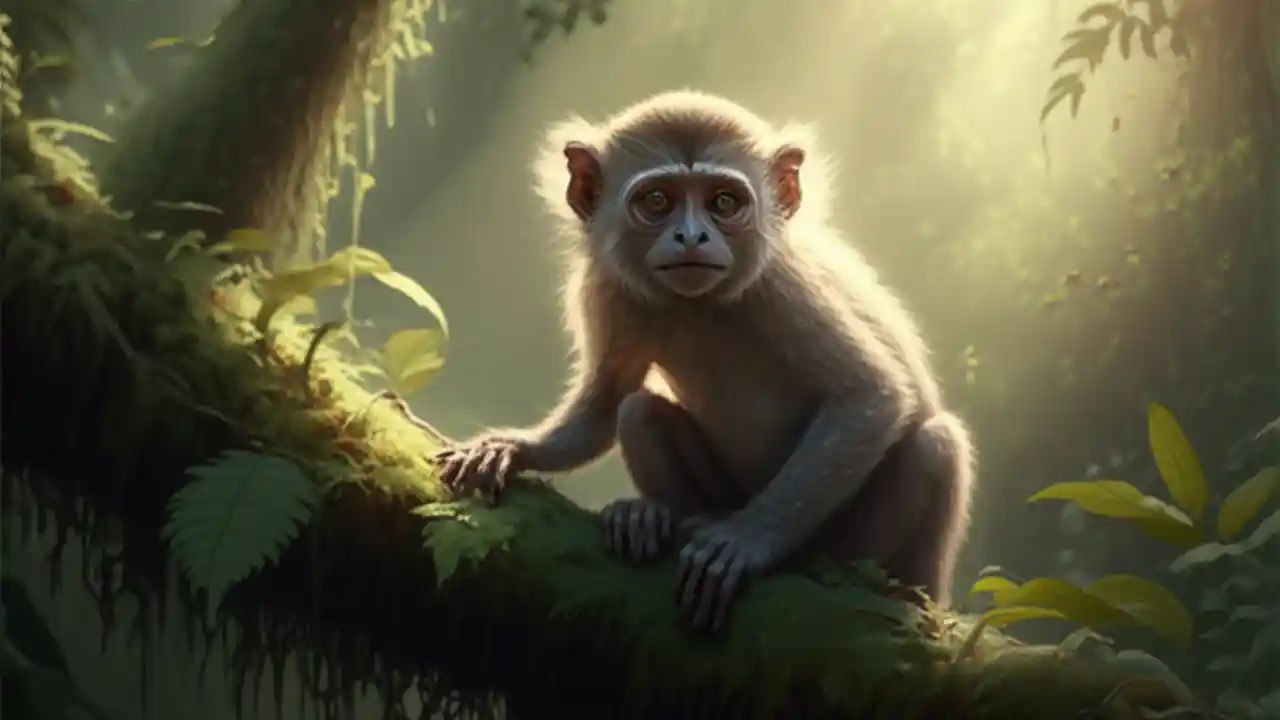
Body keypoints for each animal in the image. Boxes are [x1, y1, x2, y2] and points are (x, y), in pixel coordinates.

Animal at [431, 90, 976, 633]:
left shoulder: (783, 286)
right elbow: (602, 410)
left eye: (723, 203)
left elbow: (871, 397)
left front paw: (748, 540)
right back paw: (655, 517)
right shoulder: (609, 290)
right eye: (657, 201)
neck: (698, 306)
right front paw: (512, 447)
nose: (690, 238)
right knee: (638, 411)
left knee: (936, 444)